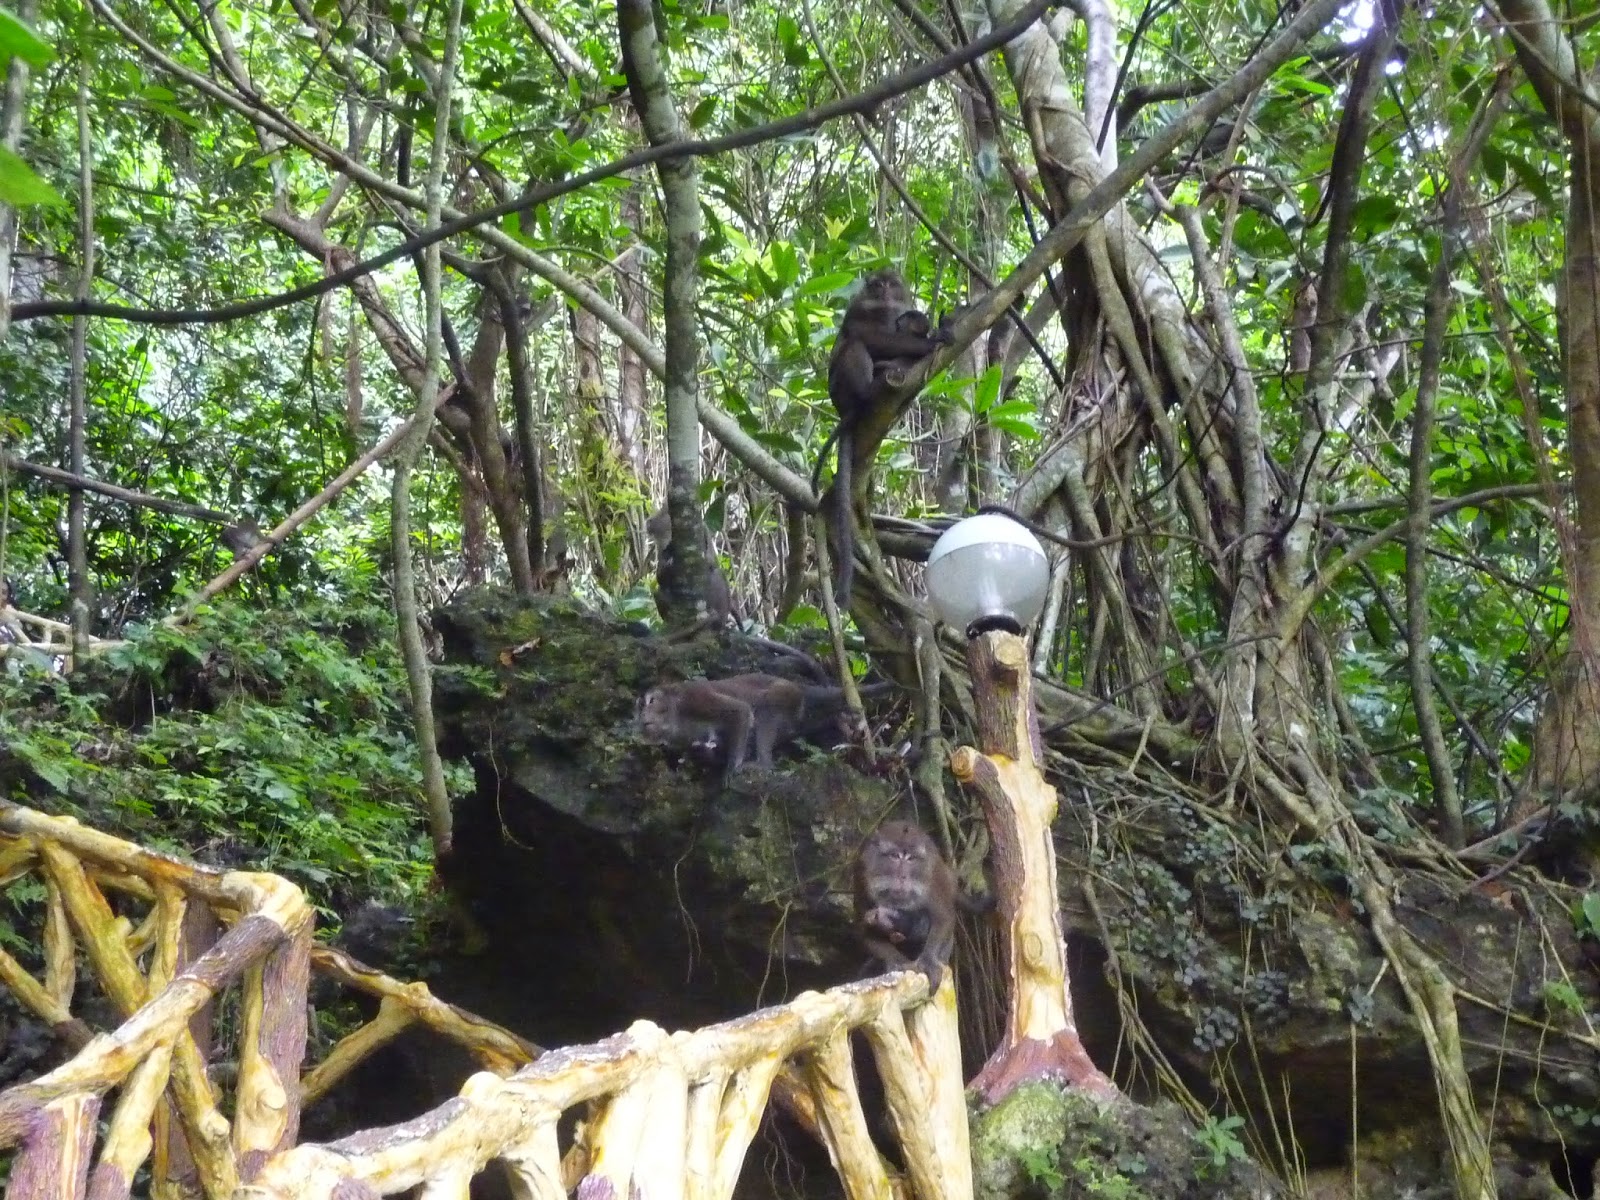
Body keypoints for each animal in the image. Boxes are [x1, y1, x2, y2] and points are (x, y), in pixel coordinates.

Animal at [637, 673, 893, 784]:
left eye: (651, 701)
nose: (640, 722)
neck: (675, 715)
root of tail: (800, 686)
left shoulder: (695, 700)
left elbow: (740, 711)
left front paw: (731, 769)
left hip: (784, 695)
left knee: (766, 708)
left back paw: (763, 764)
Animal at [817, 269, 948, 609]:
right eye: (876, 283)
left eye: (890, 283)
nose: (883, 289)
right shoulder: (862, 308)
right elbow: (868, 335)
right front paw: (928, 342)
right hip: (840, 388)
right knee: (854, 346)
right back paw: (866, 394)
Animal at [854, 819, 960, 989]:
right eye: (894, 856)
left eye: (910, 858)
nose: (902, 876)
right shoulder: (860, 875)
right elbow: (865, 931)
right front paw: (897, 962)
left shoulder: (933, 877)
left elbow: (942, 917)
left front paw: (928, 960)